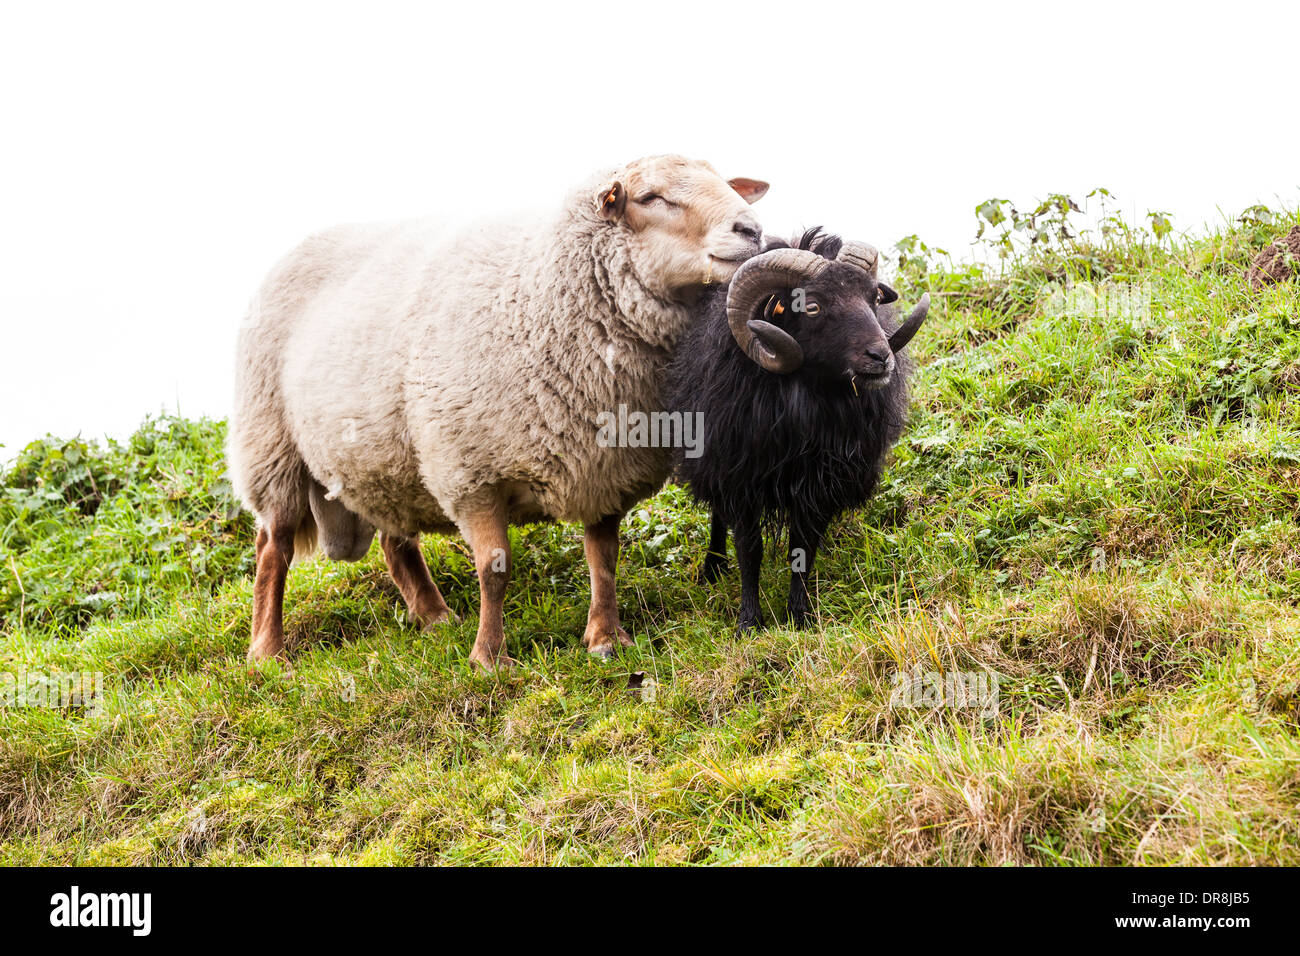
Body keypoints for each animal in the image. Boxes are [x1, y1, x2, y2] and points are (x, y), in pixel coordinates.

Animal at [228, 153, 764, 671]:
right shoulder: (470, 473)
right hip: (271, 446)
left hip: (387, 462)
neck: (537, 298)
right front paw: (490, 658)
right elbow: (495, 568)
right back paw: (267, 652)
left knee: (395, 542)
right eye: (651, 197)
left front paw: (606, 639)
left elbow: (604, 559)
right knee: (272, 549)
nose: (752, 229)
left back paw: (435, 617)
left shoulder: (604, 470)